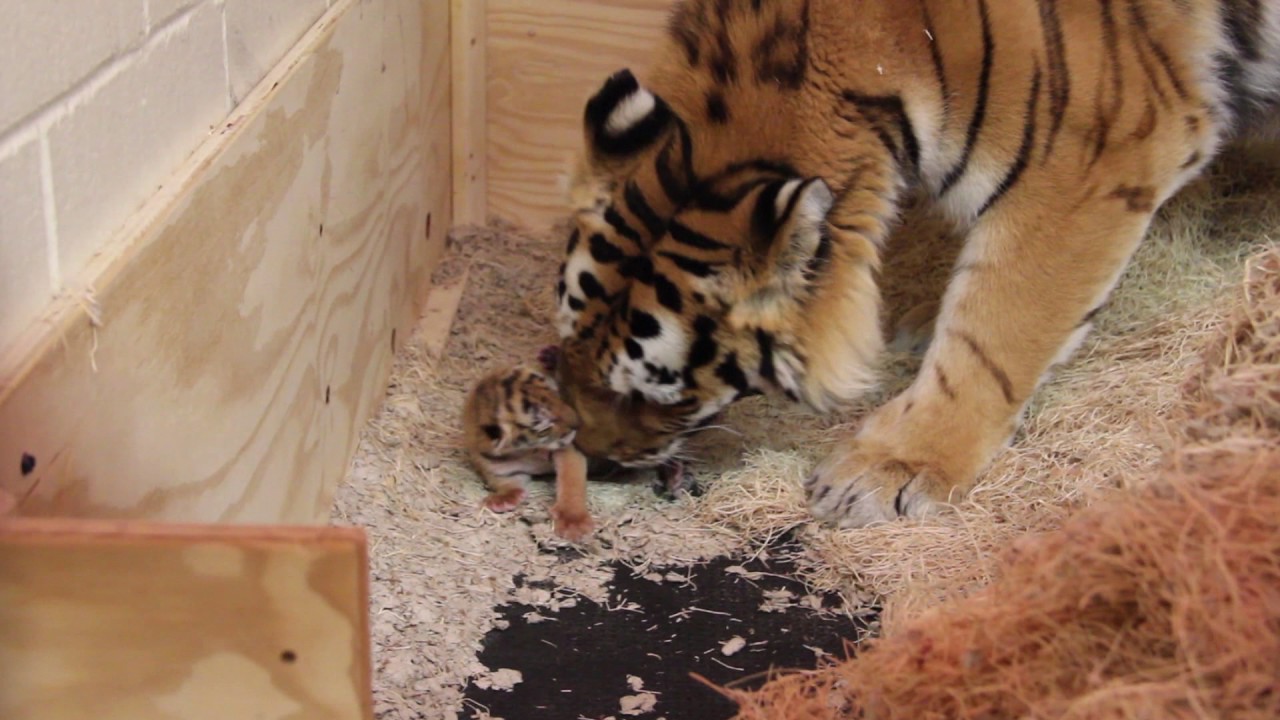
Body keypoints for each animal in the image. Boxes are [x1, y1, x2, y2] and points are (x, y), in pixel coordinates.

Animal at [551, 0, 1280, 528]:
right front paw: (920, 307)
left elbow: (995, 331)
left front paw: (896, 466)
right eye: (566, 349)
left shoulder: (1093, 157)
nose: (594, 459)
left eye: (658, 392)